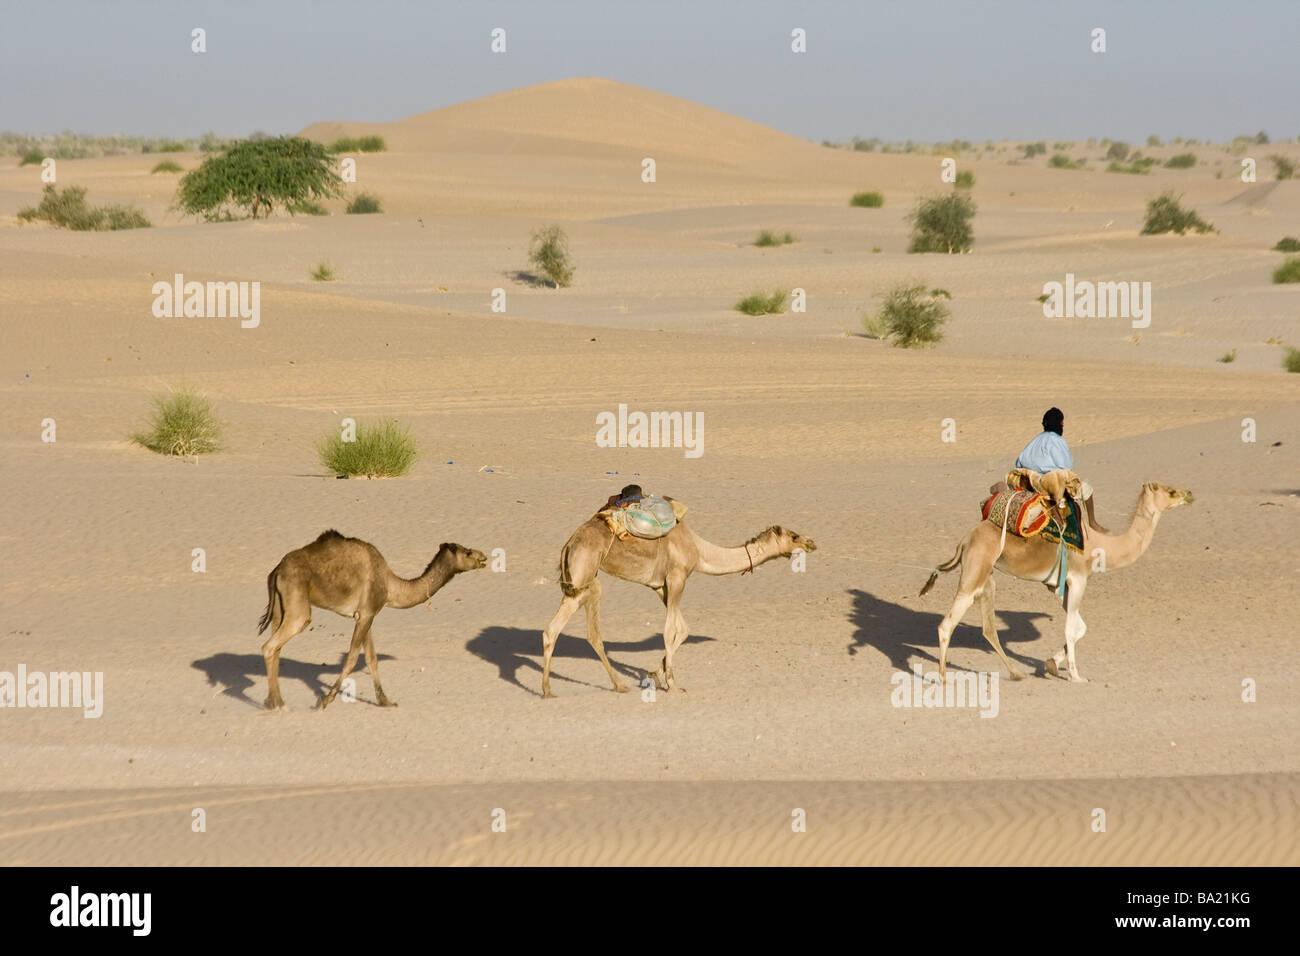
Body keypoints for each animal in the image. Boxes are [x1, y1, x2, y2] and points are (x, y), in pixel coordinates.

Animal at [257, 530, 487, 710]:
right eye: (467, 552)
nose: (483, 556)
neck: (391, 585)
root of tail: (277, 570)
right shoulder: (367, 613)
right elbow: (352, 658)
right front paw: (324, 700)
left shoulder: (366, 614)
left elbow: (371, 659)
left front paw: (386, 701)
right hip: (298, 604)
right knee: (271, 645)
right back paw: (277, 705)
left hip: (280, 606)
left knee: (276, 647)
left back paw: (275, 701)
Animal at [541, 517, 817, 698]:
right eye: (793, 536)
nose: (811, 542)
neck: (699, 550)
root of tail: (569, 544)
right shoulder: (677, 578)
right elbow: (669, 631)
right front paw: (673, 685)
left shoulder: (661, 586)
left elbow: (683, 629)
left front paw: (654, 674)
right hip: (588, 578)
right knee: (591, 633)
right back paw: (616, 685)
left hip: (577, 585)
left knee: (552, 630)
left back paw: (548, 690)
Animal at [919, 482, 1192, 683]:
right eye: (1170, 491)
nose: (1189, 494)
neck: (1102, 548)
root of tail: (964, 540)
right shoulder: (1078, 578)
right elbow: (1071, 628)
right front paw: (1076, 676)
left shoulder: (1059, 587)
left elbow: (1081, 627)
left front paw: (1051, 664)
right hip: (975, 571)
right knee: (947, 625)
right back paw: (943, 679)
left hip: (987, 577)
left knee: (988, 628)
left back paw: (1016, 674)